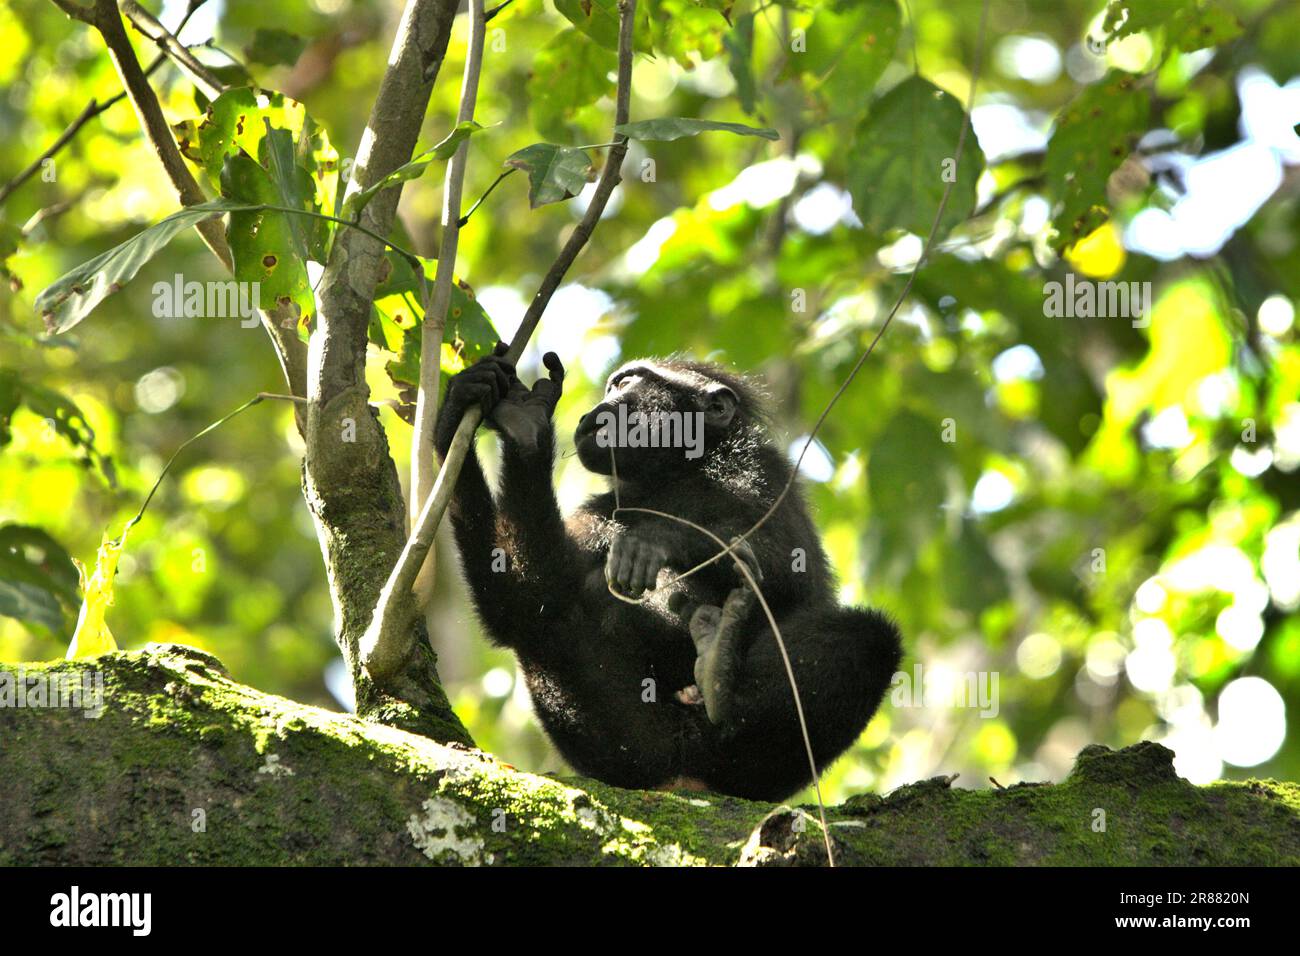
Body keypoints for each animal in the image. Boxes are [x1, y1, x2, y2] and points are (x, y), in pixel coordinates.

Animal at [434, 345, 902, 802]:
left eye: (625, 382)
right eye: (612, 386)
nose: (596, 409)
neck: (672, 475)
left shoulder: (760, 471)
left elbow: (788, 567)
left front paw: (656, 540)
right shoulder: (593, 515)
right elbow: (514, 606)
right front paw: (474, 417)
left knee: (870, 638)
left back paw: (718, 676)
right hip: (631, 738)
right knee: (539, 616)